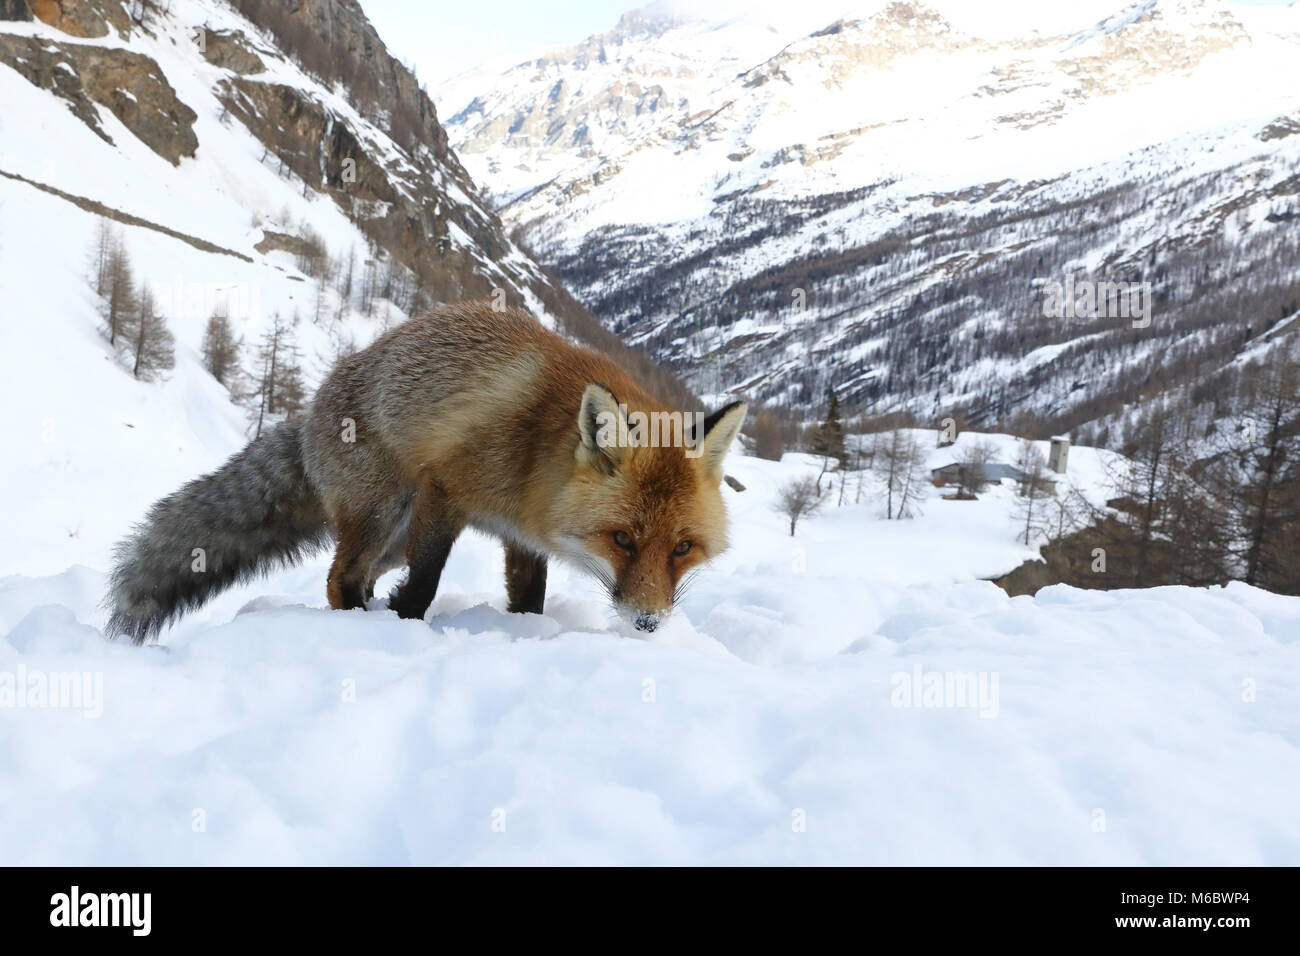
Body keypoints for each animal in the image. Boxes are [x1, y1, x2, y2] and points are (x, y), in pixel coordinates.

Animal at [105, 300, 747, 643]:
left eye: (682, 548)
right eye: (622, 539)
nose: (648, 623)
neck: (537, 452)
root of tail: (311, 411)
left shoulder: (521, 534)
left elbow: (529, 597)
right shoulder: (447, 488)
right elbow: (428, 580)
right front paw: (407, 623)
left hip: (391, 539)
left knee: (356, 576)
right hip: (385, 513)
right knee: (340, 578)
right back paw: (360, 625)